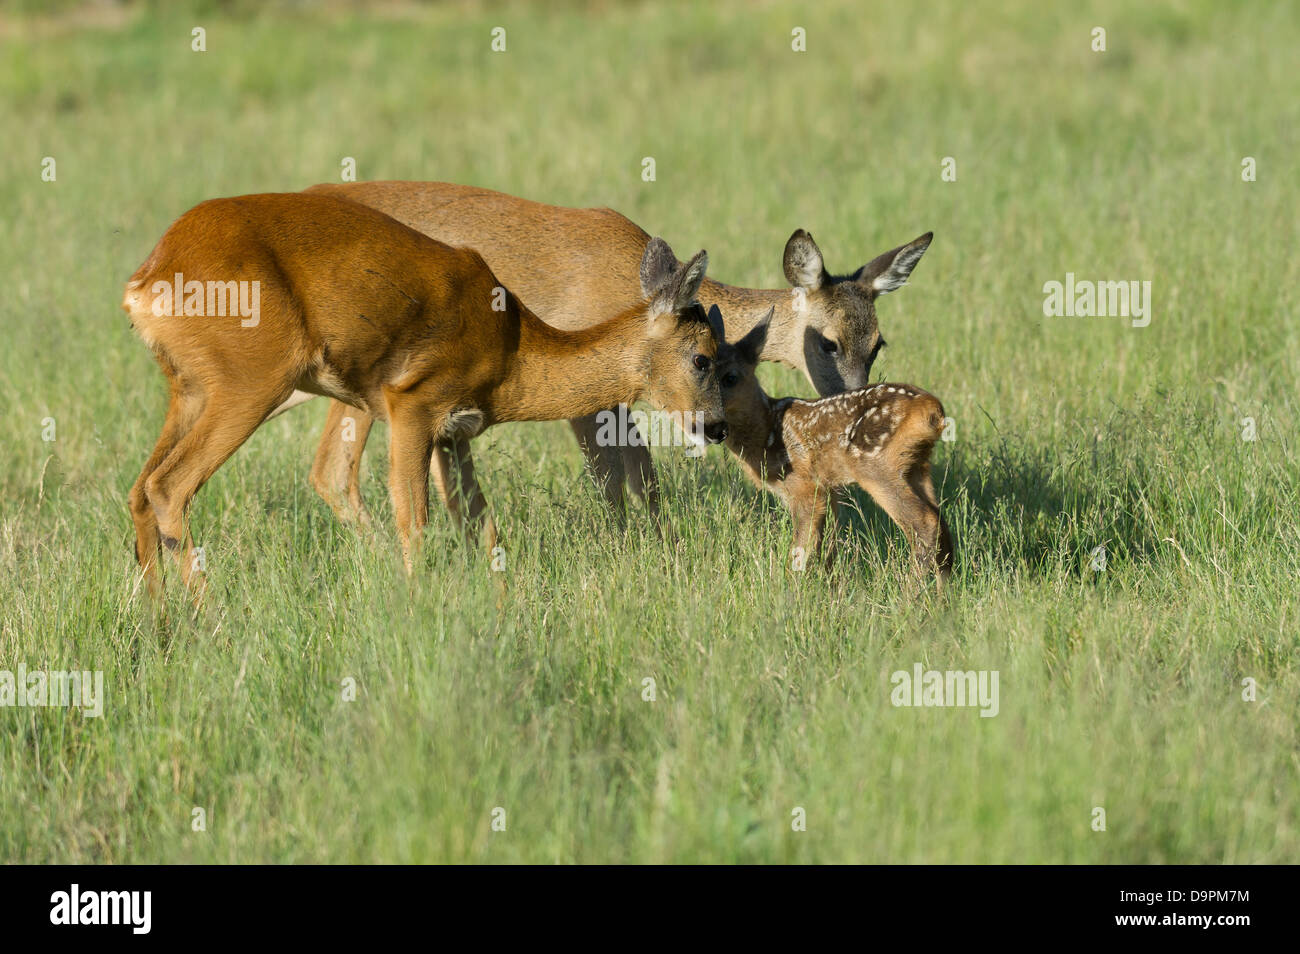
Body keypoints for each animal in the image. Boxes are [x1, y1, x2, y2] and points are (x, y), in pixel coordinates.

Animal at [121, 192, 726, 598]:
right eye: (703, 357)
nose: (716, 426)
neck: (513, 347)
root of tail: (145, 280)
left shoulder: (453, 434)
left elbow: (482, 527)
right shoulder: (411, 405)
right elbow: (414, 521)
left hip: (191, 391)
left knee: (139, 491)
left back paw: (161, 627)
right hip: (251, 382)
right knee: (170, 487)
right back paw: (212, 624)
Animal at [277, 181, 932, 531]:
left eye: (877, 343)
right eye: (827, 339)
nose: (848, 402)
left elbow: (640, 478)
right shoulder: (584, 391)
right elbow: (619, 480)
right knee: (332, 471)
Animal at [713, 308, 953, 584]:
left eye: (731, 377)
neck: (767, 431)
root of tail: (932, 409)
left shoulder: (806, 487)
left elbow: (801, 549)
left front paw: (791, 587)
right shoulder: (830, 488)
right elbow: (827, 546)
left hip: (876, 467)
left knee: (924, 523)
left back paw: (911, 589)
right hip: (917, 466)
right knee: (941, 524)